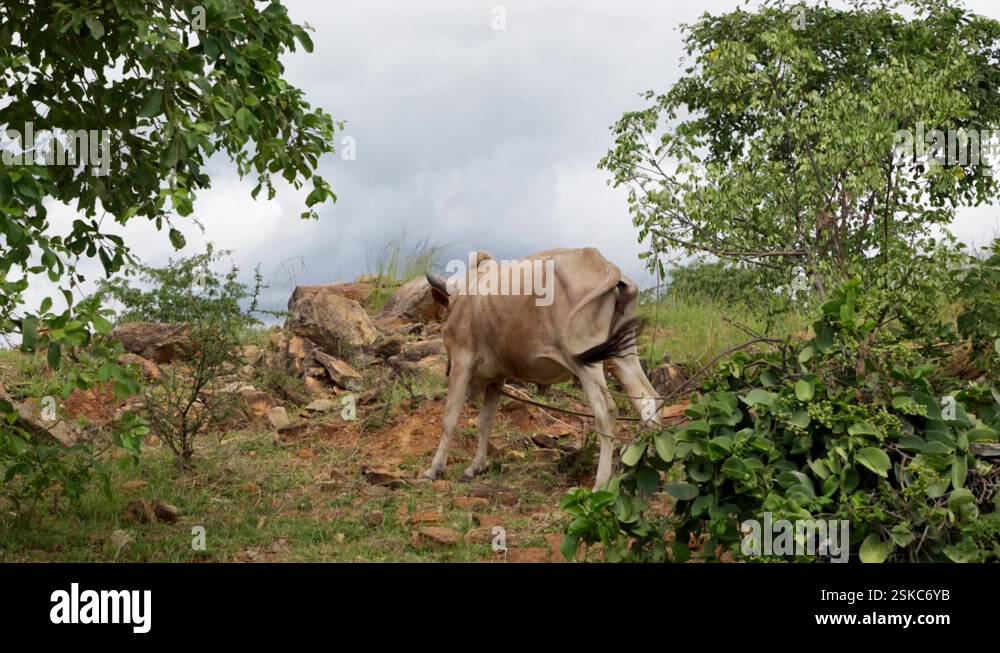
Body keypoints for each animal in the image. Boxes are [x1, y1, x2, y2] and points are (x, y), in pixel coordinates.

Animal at [423, 247, 662, 490]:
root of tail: (606, 265)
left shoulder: (462, 362)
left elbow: (450, 417)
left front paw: (435, 469)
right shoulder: (498, 376)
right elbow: (485, 421)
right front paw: (475, 467)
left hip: (584, 360)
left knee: (606, 411)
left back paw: (601, 484)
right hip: (622, 357)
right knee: (649, 402)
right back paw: (644, 470)